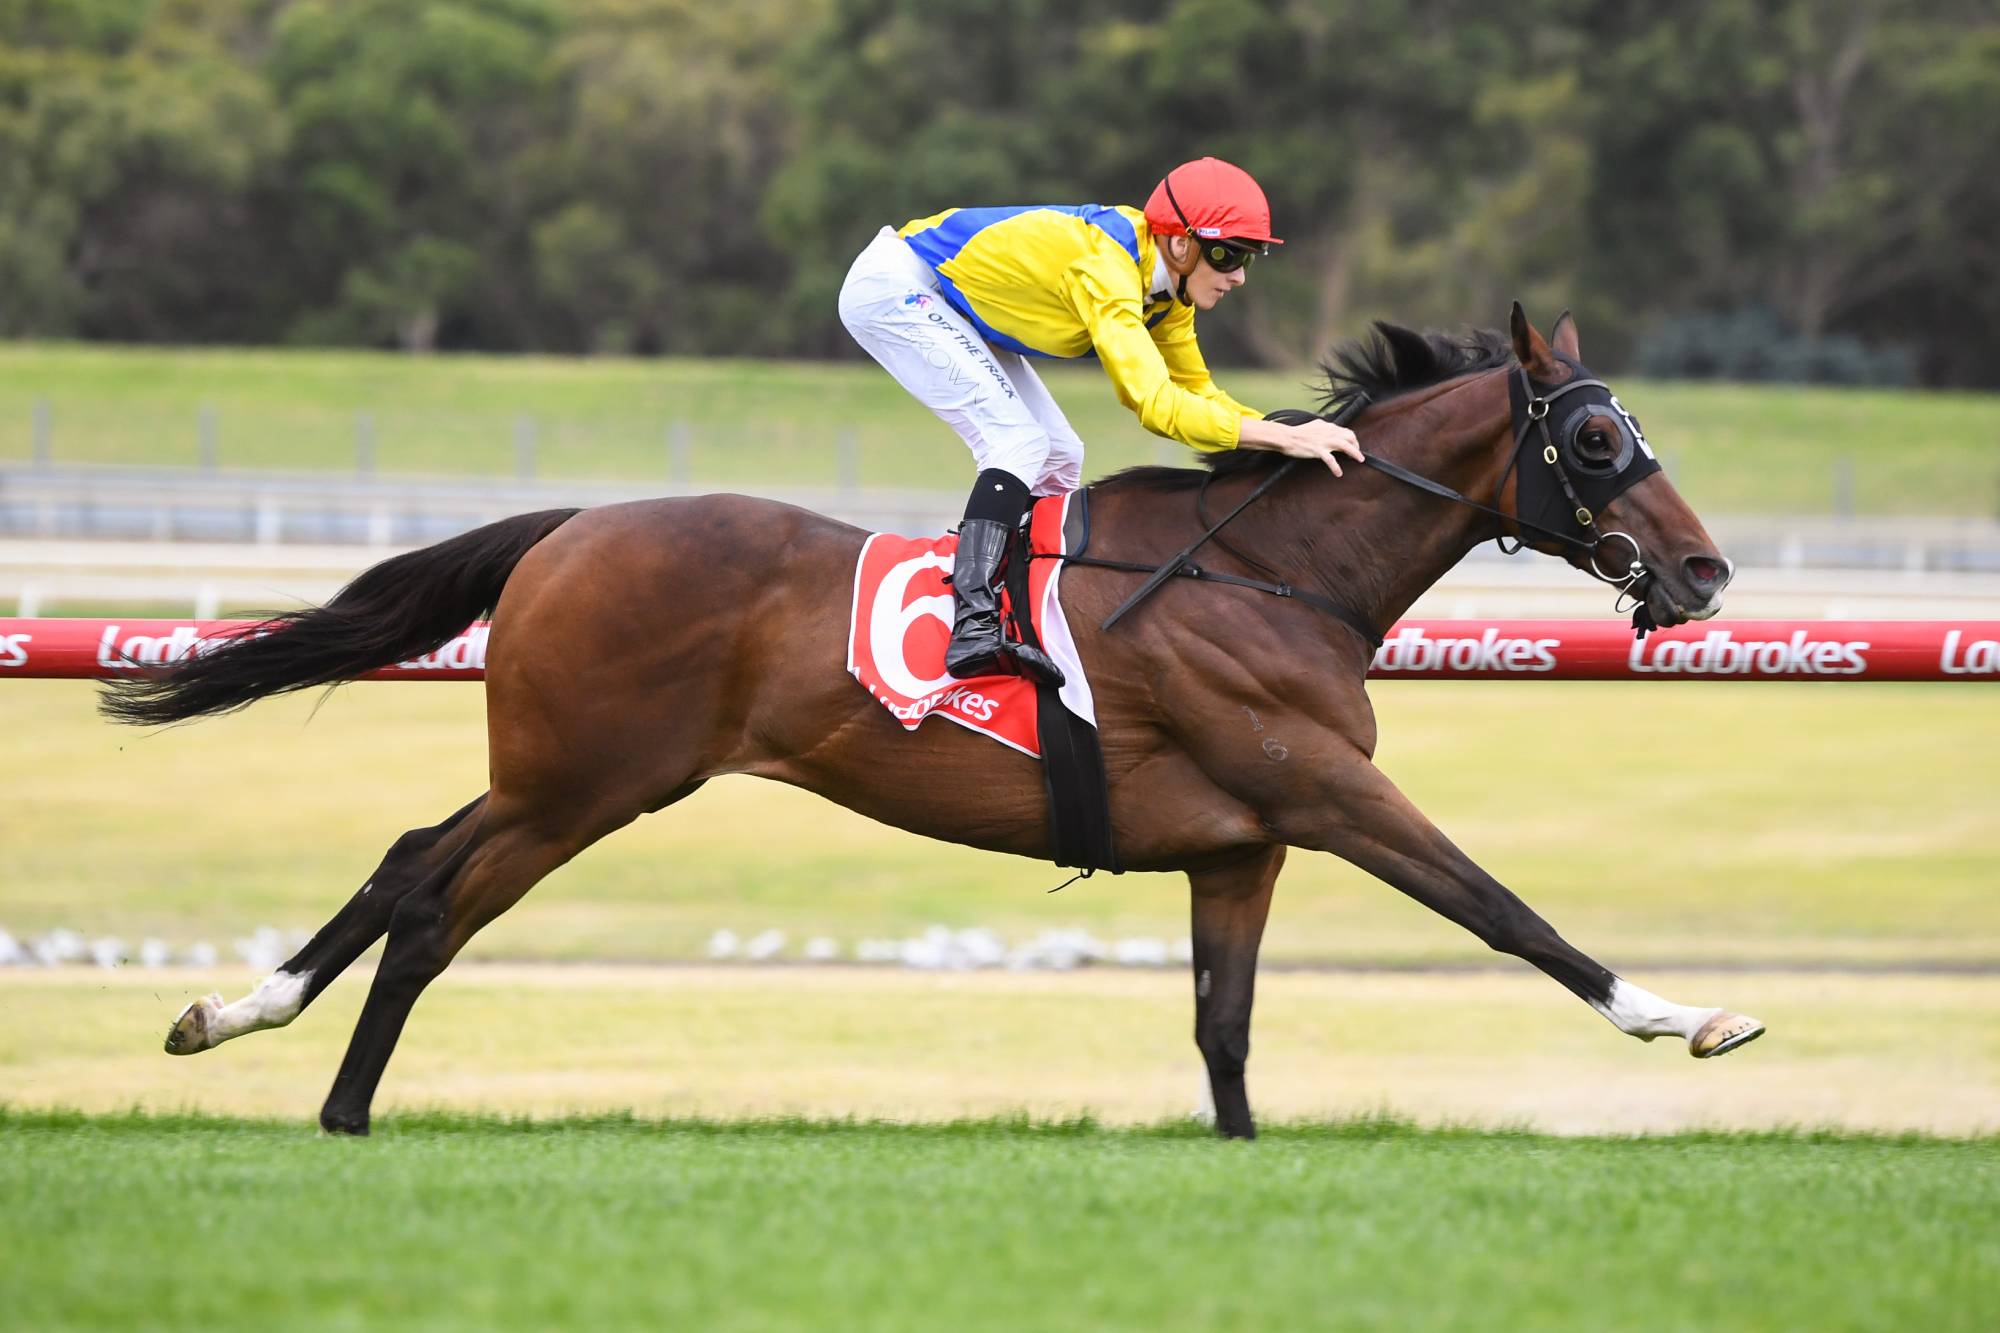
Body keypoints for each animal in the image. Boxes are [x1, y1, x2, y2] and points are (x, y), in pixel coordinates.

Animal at [109, 305, 1763, 1138]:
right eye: (1596, 437)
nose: (1704, 571)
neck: (1274, 572)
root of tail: (571, 526)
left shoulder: (1242, 848)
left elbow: (1223, 1029)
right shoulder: (1330, 795)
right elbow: (1505, 910)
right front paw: (1684, 1014)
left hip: (563, 774)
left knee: (409, 856)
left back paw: (237, 1017)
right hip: (584, 786)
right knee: (435, 906)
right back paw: (339, 1105)